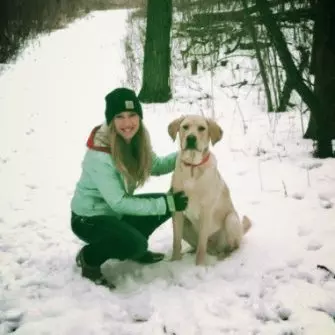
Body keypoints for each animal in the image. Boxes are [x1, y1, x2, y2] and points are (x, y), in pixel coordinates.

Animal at [168, 117, 252, 266]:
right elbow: (176, 242)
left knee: (232, 247)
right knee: (198, 245)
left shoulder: (206, 212)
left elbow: (202, 246)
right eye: (185, 127)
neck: (193, 167)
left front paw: (199, 266)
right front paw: (175, 261)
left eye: (201, 128)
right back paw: (191, 251)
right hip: (186, 223)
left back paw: (224, 257)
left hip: (231, 220)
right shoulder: (177, 211)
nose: (191, 138)